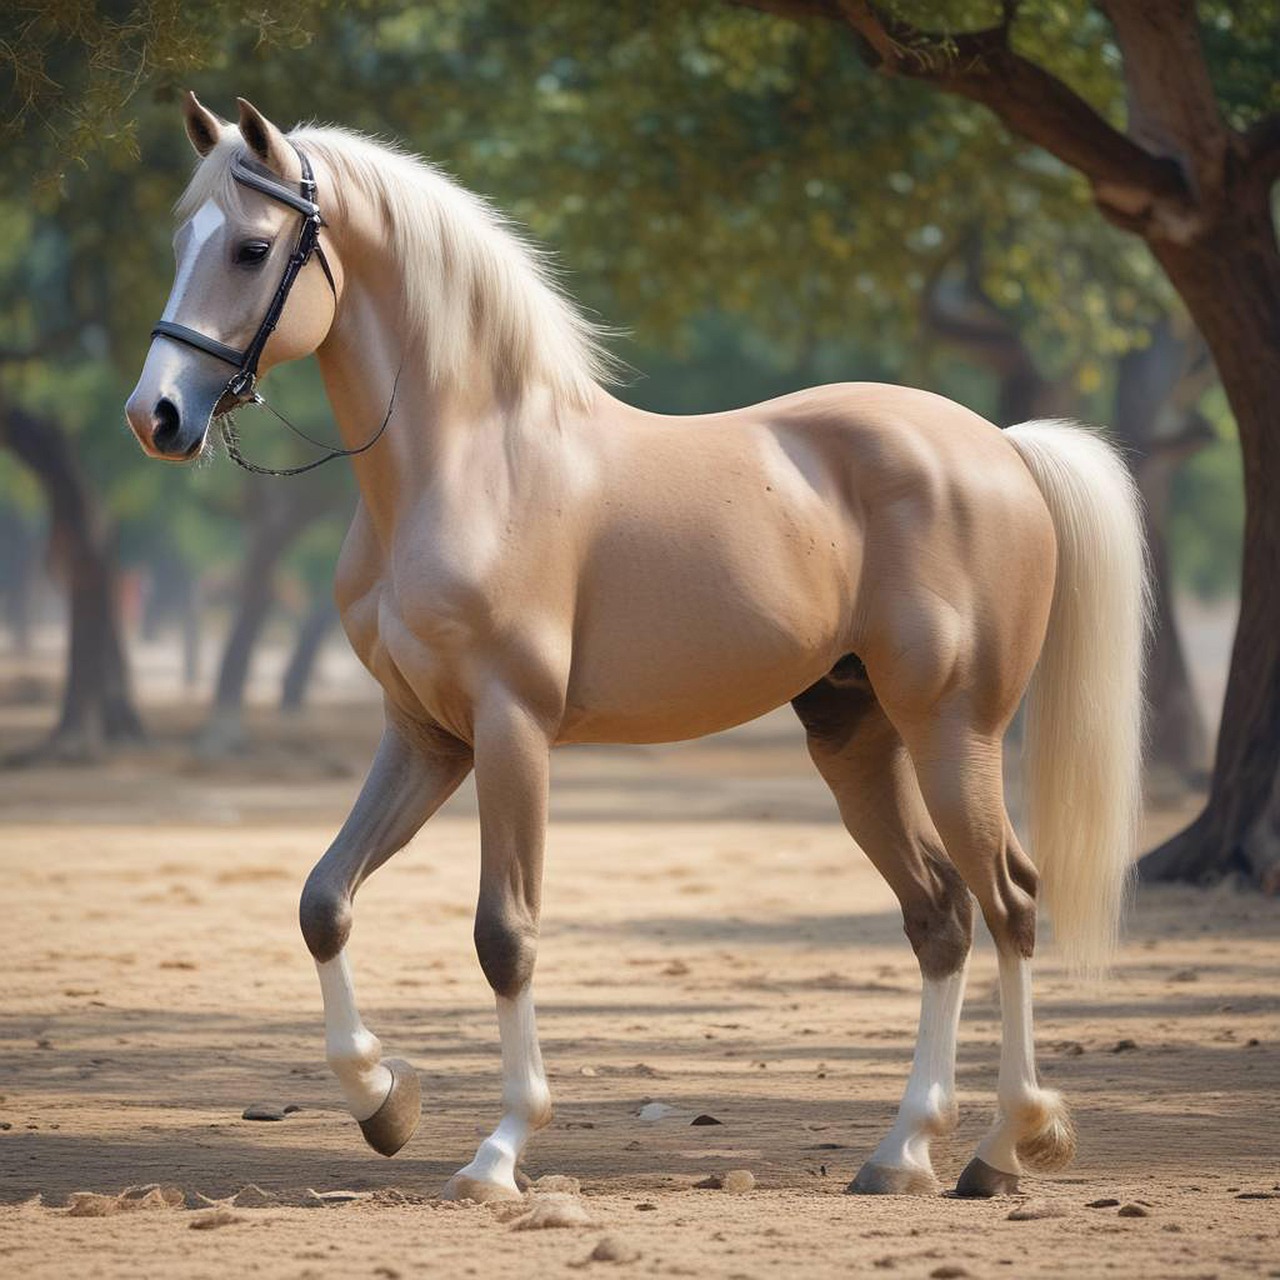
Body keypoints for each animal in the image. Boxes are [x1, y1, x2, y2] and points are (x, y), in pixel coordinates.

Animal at [125, 94, 1148, 1202]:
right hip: (853, 735)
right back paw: (901, 1150)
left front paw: (498, 1152)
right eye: (178, 239)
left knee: (1009, 902)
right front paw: (383, 1100)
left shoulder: (511, 728)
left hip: (952, 730)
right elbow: (324, 900)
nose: (156, 415)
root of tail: (1002, 447)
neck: (473, 461)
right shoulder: (426, 735)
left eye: (251, 246)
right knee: (941, 914)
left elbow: (504, 934)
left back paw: (1004, 1144)